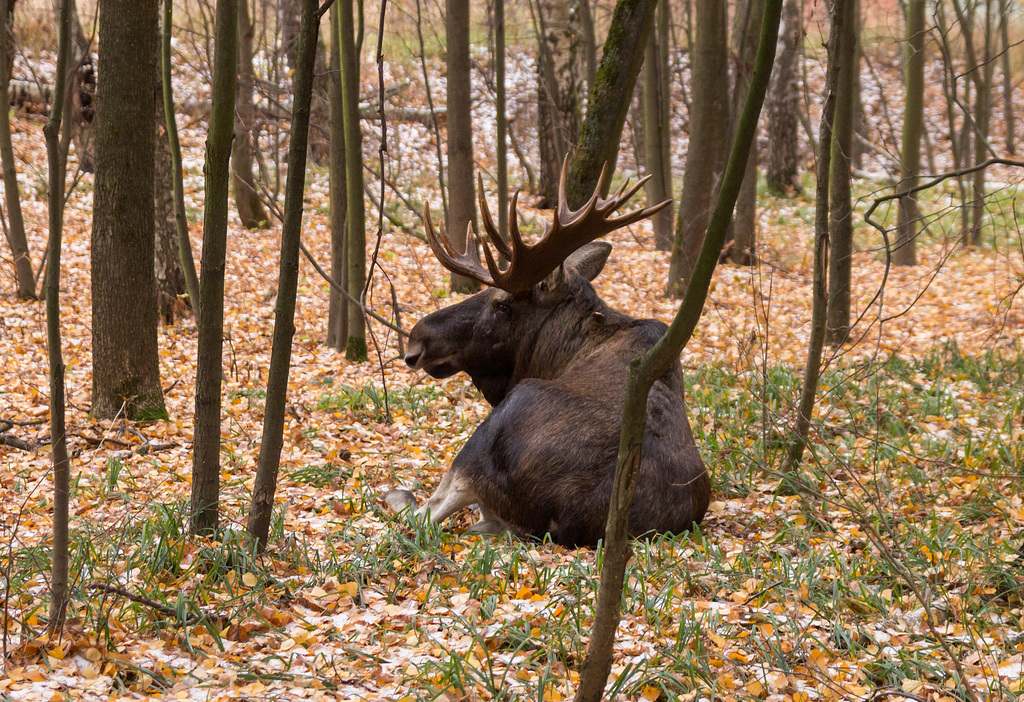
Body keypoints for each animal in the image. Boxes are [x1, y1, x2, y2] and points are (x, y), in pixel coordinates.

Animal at [387, 161, 710, 548]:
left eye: (502, 303)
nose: (416, 343)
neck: (558, 356)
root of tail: (565, 517)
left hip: (486, 439)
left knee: (426, 515)